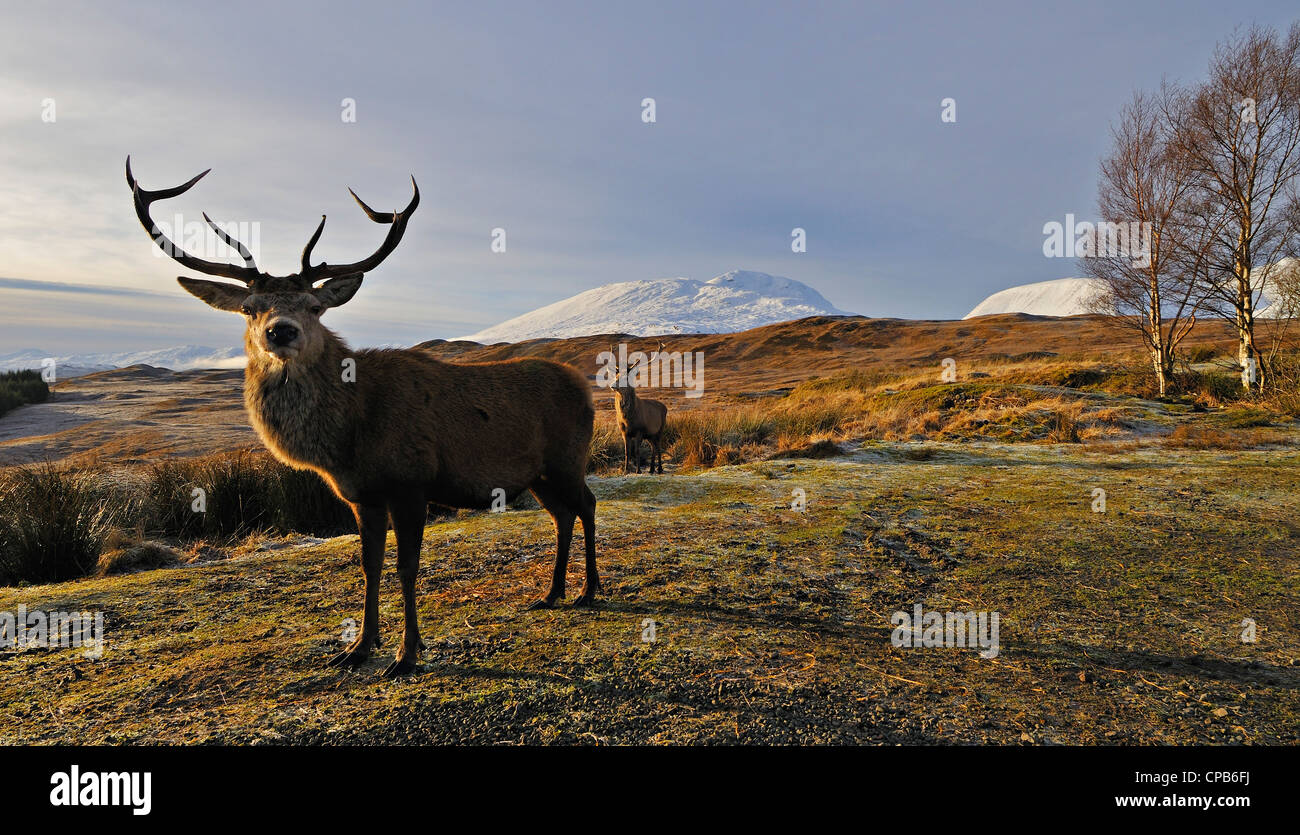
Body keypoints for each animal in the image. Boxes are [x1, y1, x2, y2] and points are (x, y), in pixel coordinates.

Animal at [126, 158, 599, 678]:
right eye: (249, 308)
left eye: (315, 306)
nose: (281, 331)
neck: (347, 438)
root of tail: (584, 387)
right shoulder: (359, 495)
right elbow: (369, 565)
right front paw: (359, 646)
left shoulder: (411, 482)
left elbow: (406, 567)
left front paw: (407, 654)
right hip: (538, 474)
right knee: (562, 515)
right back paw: (552, 593)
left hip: (568, 457)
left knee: (588, 505)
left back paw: (588, 591)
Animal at [612, 342, 668, 474]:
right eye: (616, 376)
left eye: (626, 378)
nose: (612, 385)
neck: (628, 419)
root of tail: (665, 407)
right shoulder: (624, 431)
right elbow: (627, 452)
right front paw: (625, 470)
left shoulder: (640, 430)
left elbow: (637, 451)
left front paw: (638, 470)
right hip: (650, 434)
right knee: (653, 447)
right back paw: (651, 469)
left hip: (660, 429)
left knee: (659, 447)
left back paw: (659, 468)